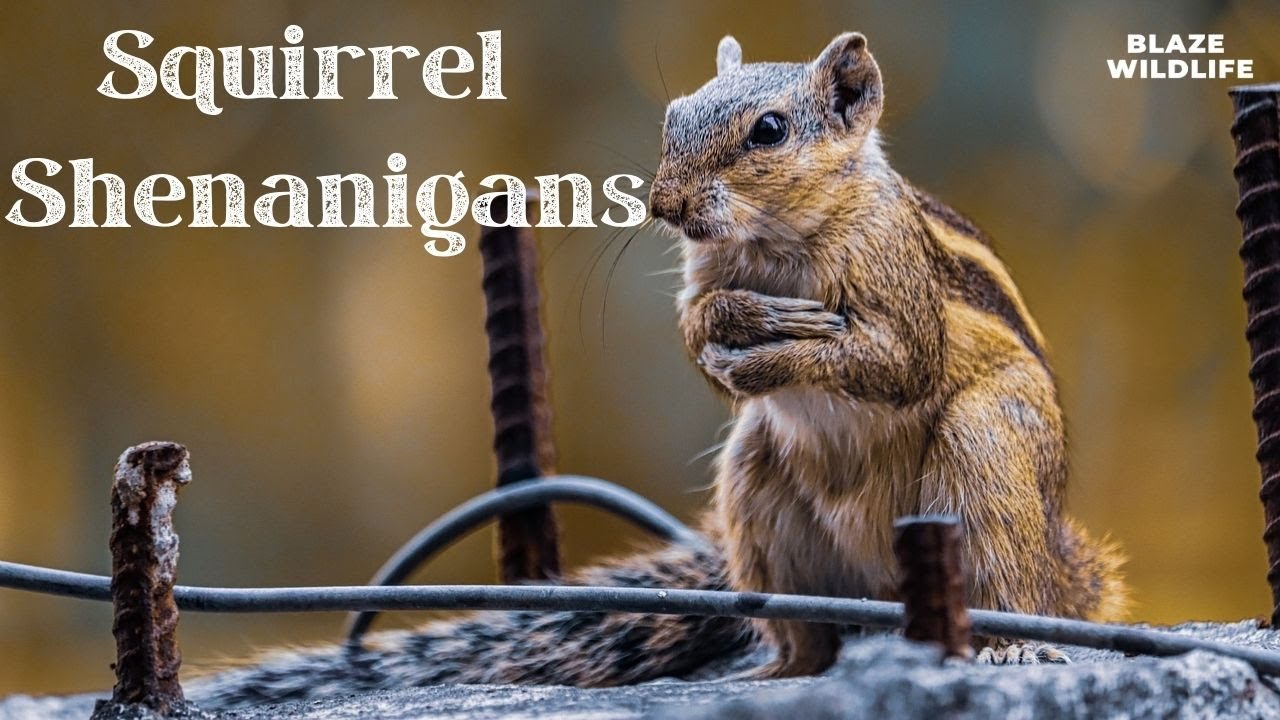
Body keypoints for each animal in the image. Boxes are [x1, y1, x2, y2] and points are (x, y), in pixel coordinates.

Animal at [192, 32, 1127, 708]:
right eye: (673, 116)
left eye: (770, 129)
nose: (663, 204)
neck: (773, 243)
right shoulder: (704, 279)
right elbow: (700, 336)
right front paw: (739, 326)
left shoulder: (896, 280)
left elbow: (896, 362)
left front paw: (787, 340)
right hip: (756, 493)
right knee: (810, 637)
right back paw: (776, 671)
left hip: (985, 456)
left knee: (1008, 579)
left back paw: (1009, 640)